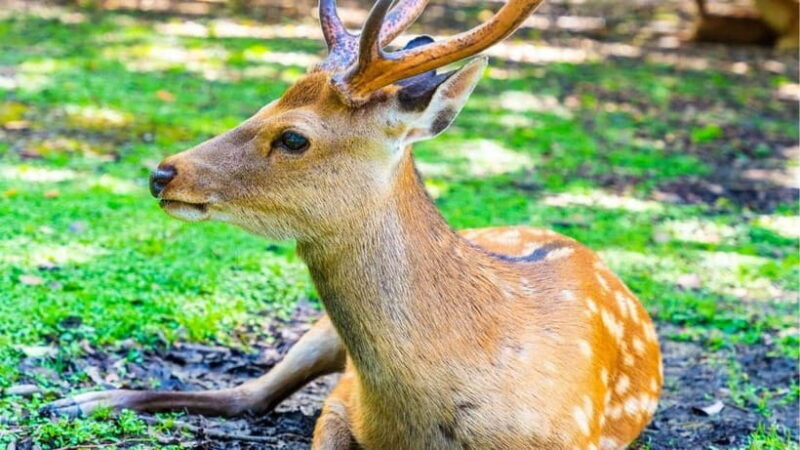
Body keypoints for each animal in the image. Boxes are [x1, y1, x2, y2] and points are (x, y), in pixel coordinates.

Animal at [44, 0, 663, 448]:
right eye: (266, 102)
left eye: (294, 137)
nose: (163, 173)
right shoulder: (343, 397)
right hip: (318, 333)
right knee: (250, 393)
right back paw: (78, 400)